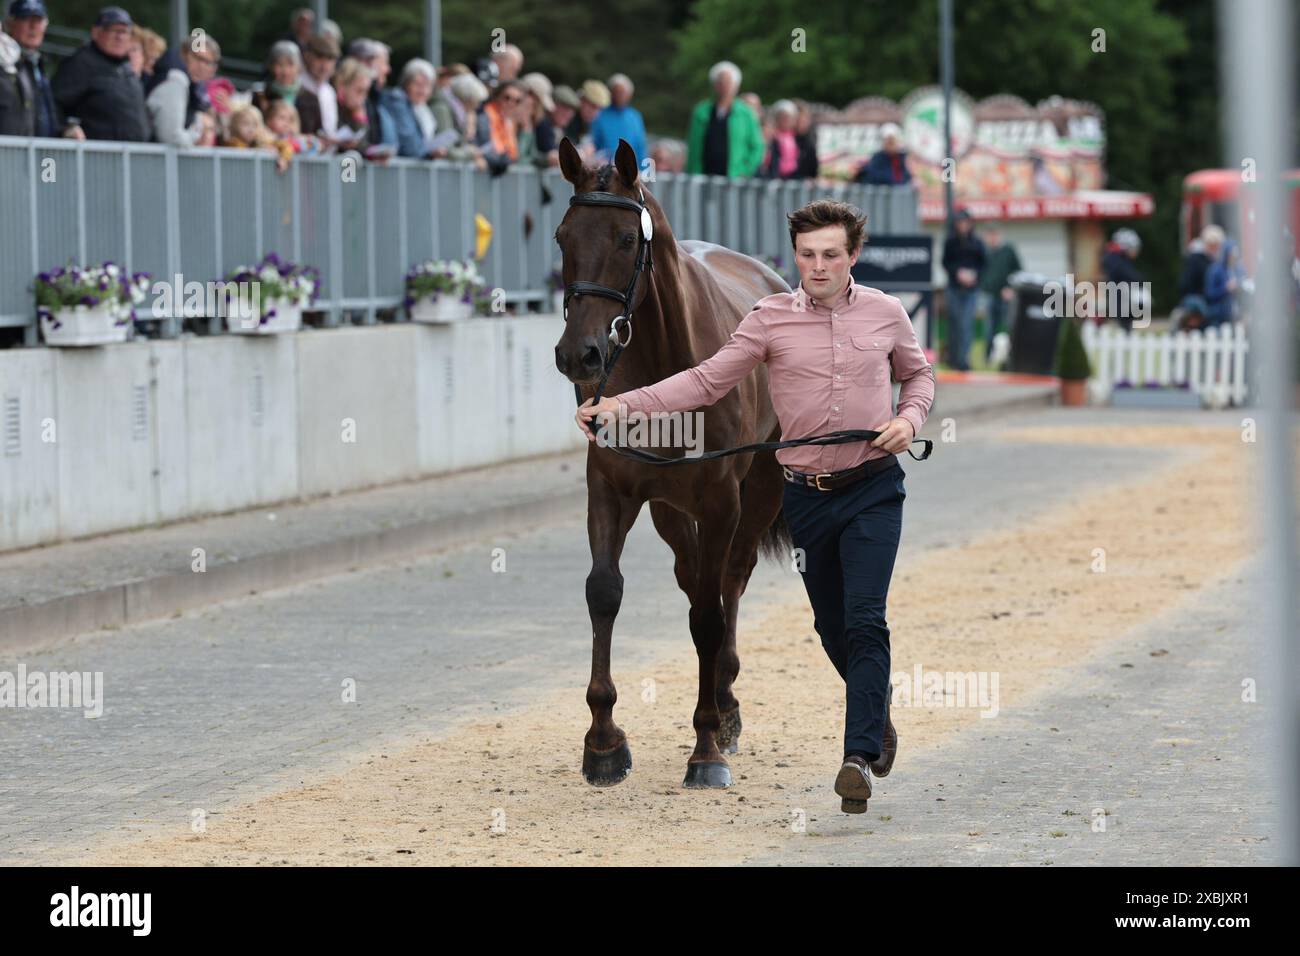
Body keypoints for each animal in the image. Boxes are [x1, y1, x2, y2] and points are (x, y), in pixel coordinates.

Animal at [553, 137, 792, 789]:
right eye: (562, 236)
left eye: (625, 239)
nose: (579, 355)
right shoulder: (611, 487)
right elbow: (603, 592)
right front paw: (603, 742)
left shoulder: (721, 500)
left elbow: (711, 614)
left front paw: (706, 746)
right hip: (668, 509)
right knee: (694, 581)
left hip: (759, 494)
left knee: (728, 583)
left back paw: (726, 707)